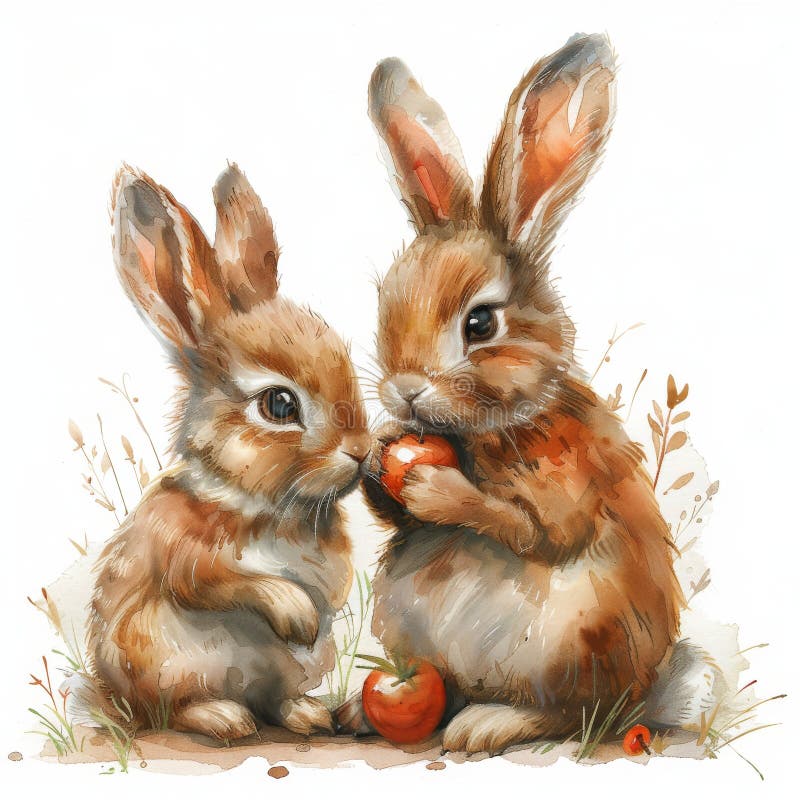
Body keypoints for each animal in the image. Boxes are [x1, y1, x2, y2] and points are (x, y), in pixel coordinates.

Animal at [88, 164, 370, 741]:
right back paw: (223, 718)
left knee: (272, 700)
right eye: (279, 405)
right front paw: (298, 615)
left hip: (286, 672)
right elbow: (224, 581)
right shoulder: (184, 552)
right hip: (159, 663)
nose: (363, 451)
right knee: (170, 710)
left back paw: (305, 715)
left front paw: (319, 607)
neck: (262, 502)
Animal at [350, 33, 684, 755]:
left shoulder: (566, 483)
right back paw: (364, 712)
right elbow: (395, 512)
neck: (486, 429)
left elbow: (529, 527)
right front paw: (382, 453)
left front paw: (436, 488)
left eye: (480, 323)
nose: (405, 391)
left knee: (572, 714)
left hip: (577, 644)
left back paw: (488, 725)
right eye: (387, 301)